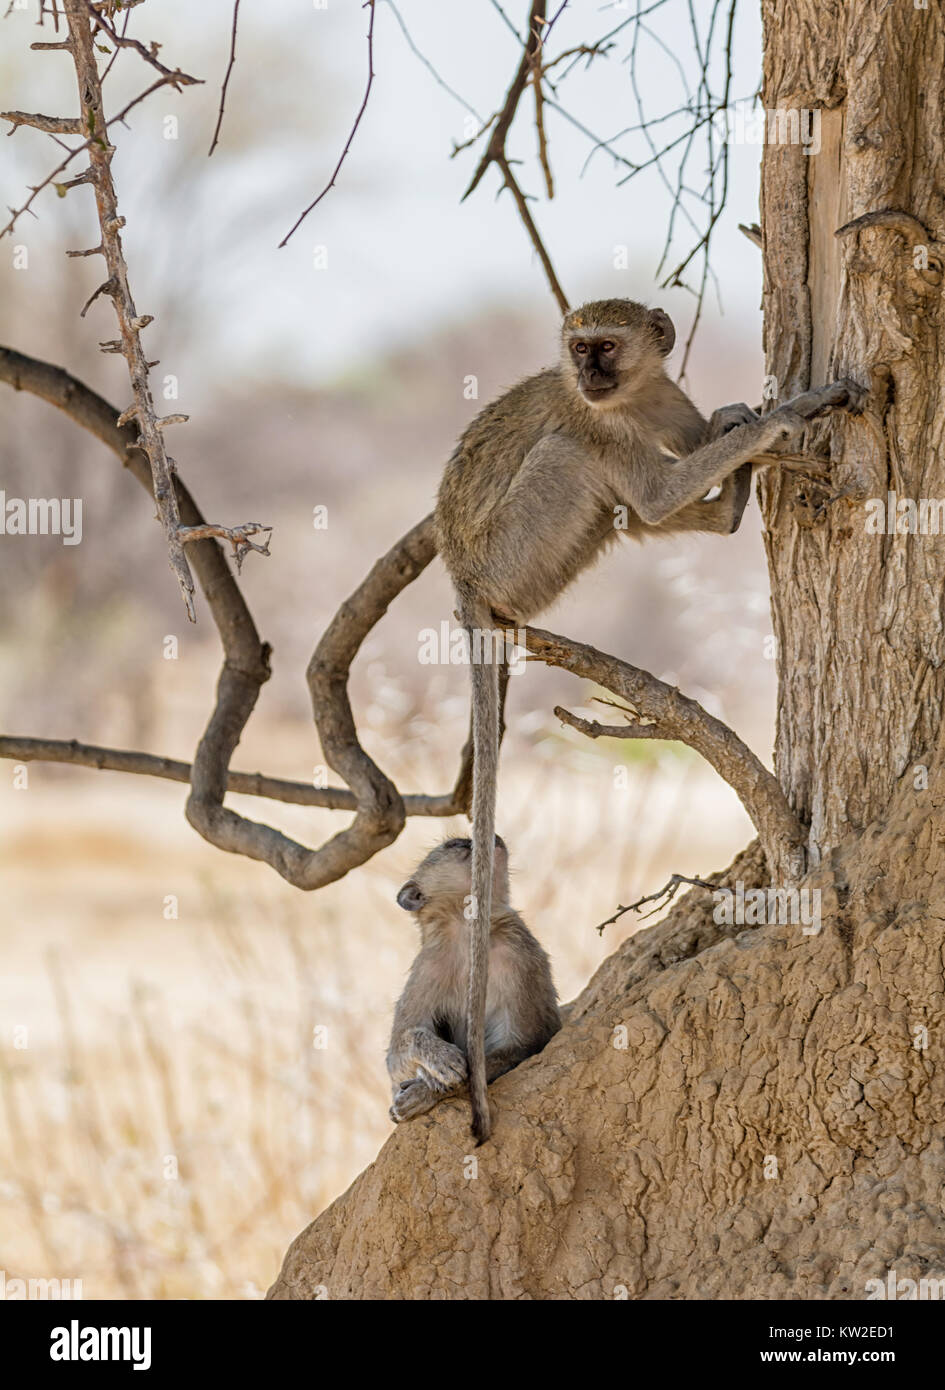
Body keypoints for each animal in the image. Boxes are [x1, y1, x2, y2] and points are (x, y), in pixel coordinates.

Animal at [387, 835, 560, 1129]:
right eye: (457, 844)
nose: (496, 838)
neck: (468, 933)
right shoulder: (428, 967)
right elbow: (394, 1060)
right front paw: (437, 1062)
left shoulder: (520, 956)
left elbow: (525, 1044)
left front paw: (425, 1092)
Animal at [434, 297, 864, 1143]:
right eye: (578, 350)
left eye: (604, 347)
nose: (589, 376)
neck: (627, 399)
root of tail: (465, 583)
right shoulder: (598, 424)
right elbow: (651, 484)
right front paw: (790, 413)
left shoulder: (663, 400)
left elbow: (680, 465)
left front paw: (739, 426)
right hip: (513, 555)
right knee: (580, 464)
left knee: (625, 515)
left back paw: (727, 509)